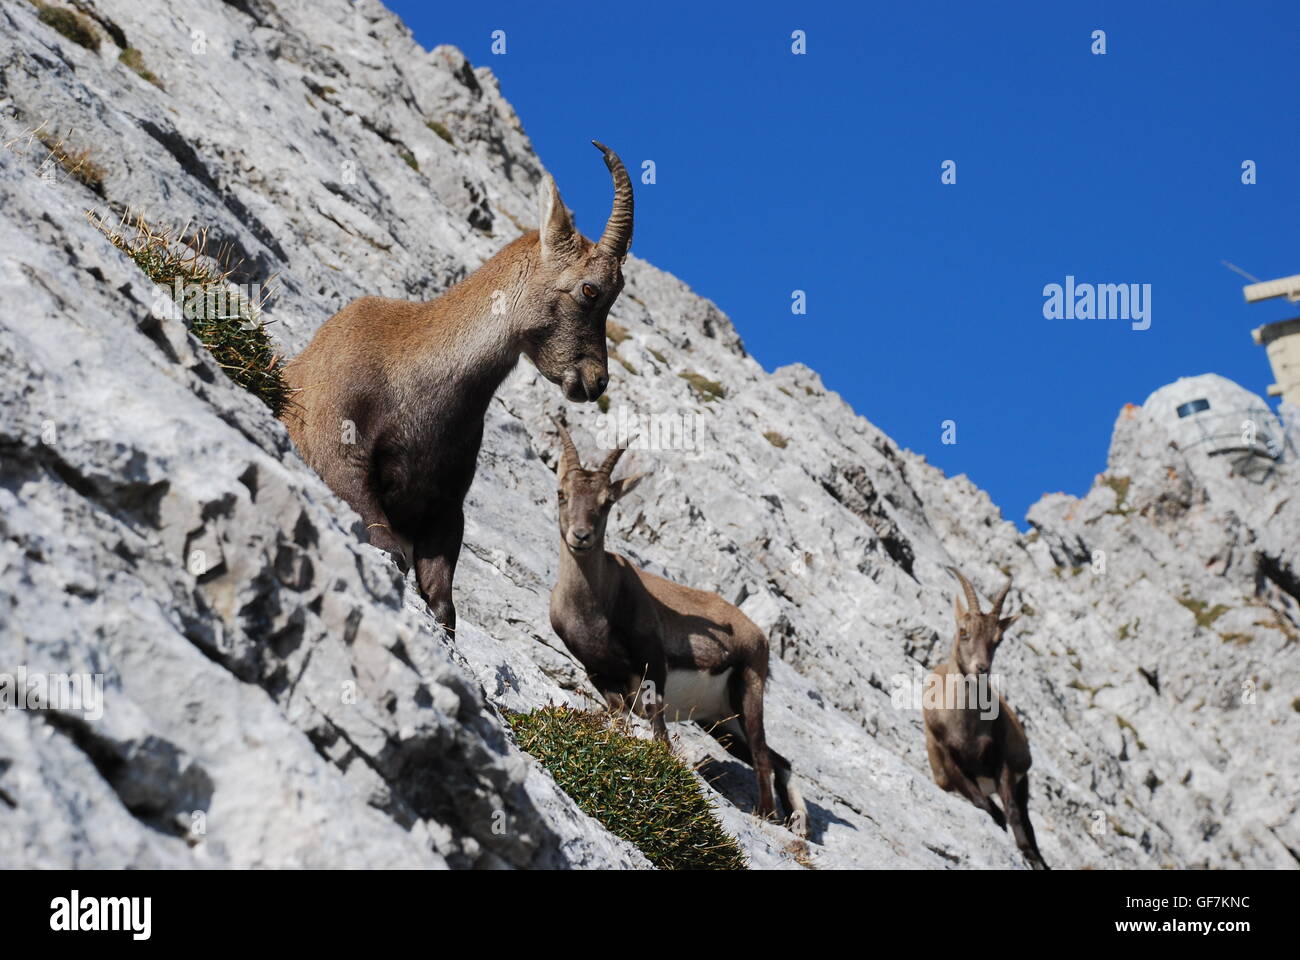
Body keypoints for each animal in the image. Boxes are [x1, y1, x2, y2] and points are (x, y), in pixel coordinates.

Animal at [283, 142, 633, 636]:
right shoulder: (334, 448)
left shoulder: (446, 508)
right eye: (589, 289)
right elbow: (384, 540)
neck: (415, 380)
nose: (596, 381)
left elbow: (443, 603)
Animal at [546, 422, 808, 836]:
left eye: (607, 502)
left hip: (748, 688)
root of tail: (757, 632)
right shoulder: (598, 672)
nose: (581, 536)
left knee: (764, 755)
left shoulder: (653, 660)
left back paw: (768, 814)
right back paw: (798, 822)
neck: (594, 604)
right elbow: (618, 716)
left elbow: (657, 724)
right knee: (777, 757)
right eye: (562, 494)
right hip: (720, 719)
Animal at [923, 567, 1048, 869]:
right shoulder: (948, 758)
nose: (982, 668)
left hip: (1022, 778)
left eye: (998, 640)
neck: (964, 726)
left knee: (1025, 818)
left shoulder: (1004, 761)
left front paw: (1028, 854)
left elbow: (1012, 812)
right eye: (964, 631)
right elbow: (983, 804)